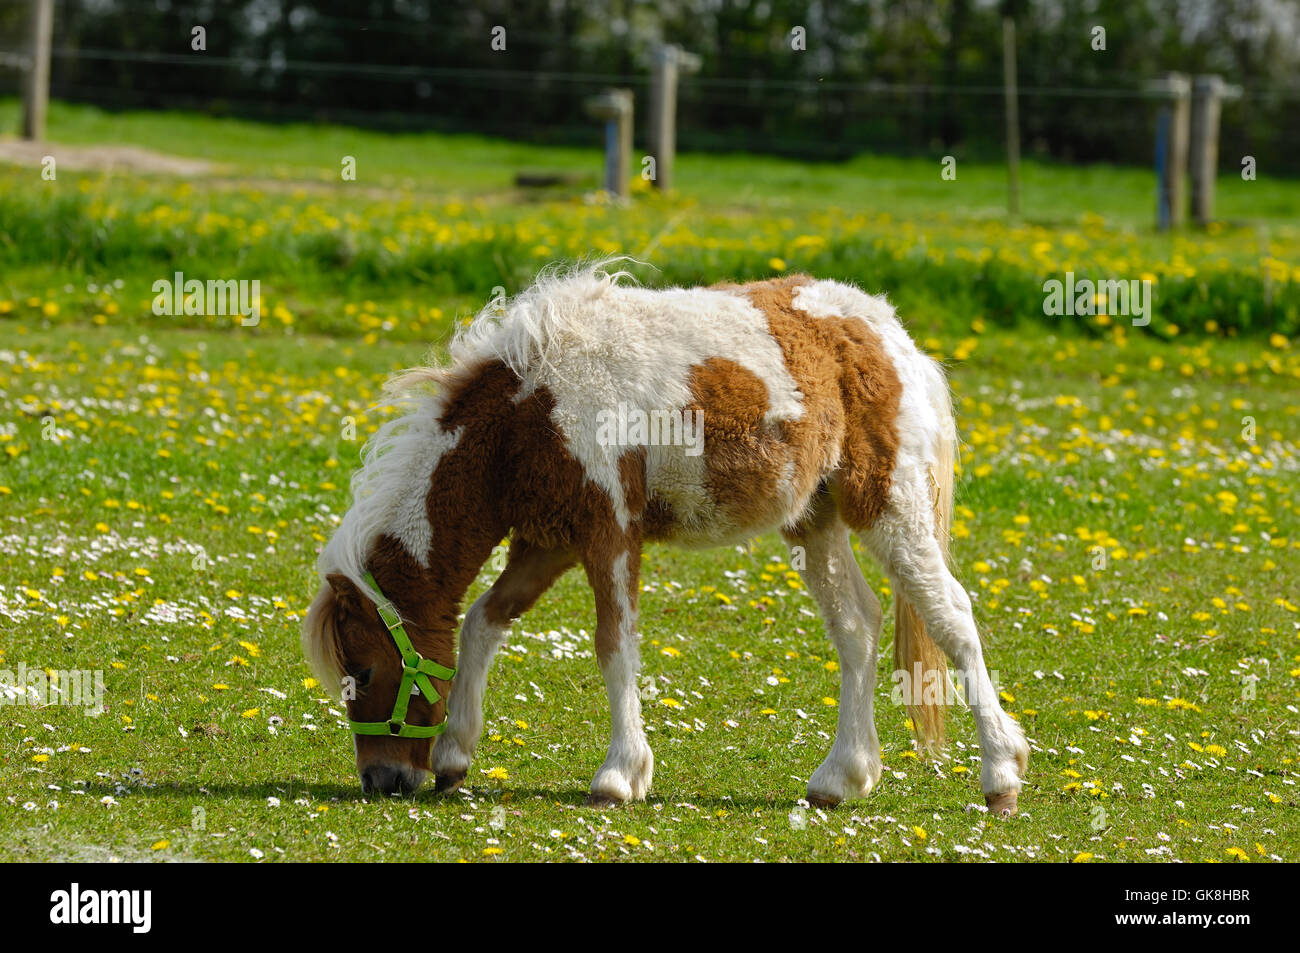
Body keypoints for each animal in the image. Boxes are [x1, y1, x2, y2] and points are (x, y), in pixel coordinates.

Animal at [302, 262, 1030, 815]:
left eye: (363, 669)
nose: (383, 780)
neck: (530, 408)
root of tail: (892, 335)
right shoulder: (549, 540)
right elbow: (483, 620)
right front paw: (456, 754)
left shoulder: (609, 531)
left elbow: (613, 645)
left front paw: (620, 775)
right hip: (814, 518)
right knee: (857, 625)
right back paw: (841, 777)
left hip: (887, 504)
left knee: (951, 615)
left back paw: (1001, 775)